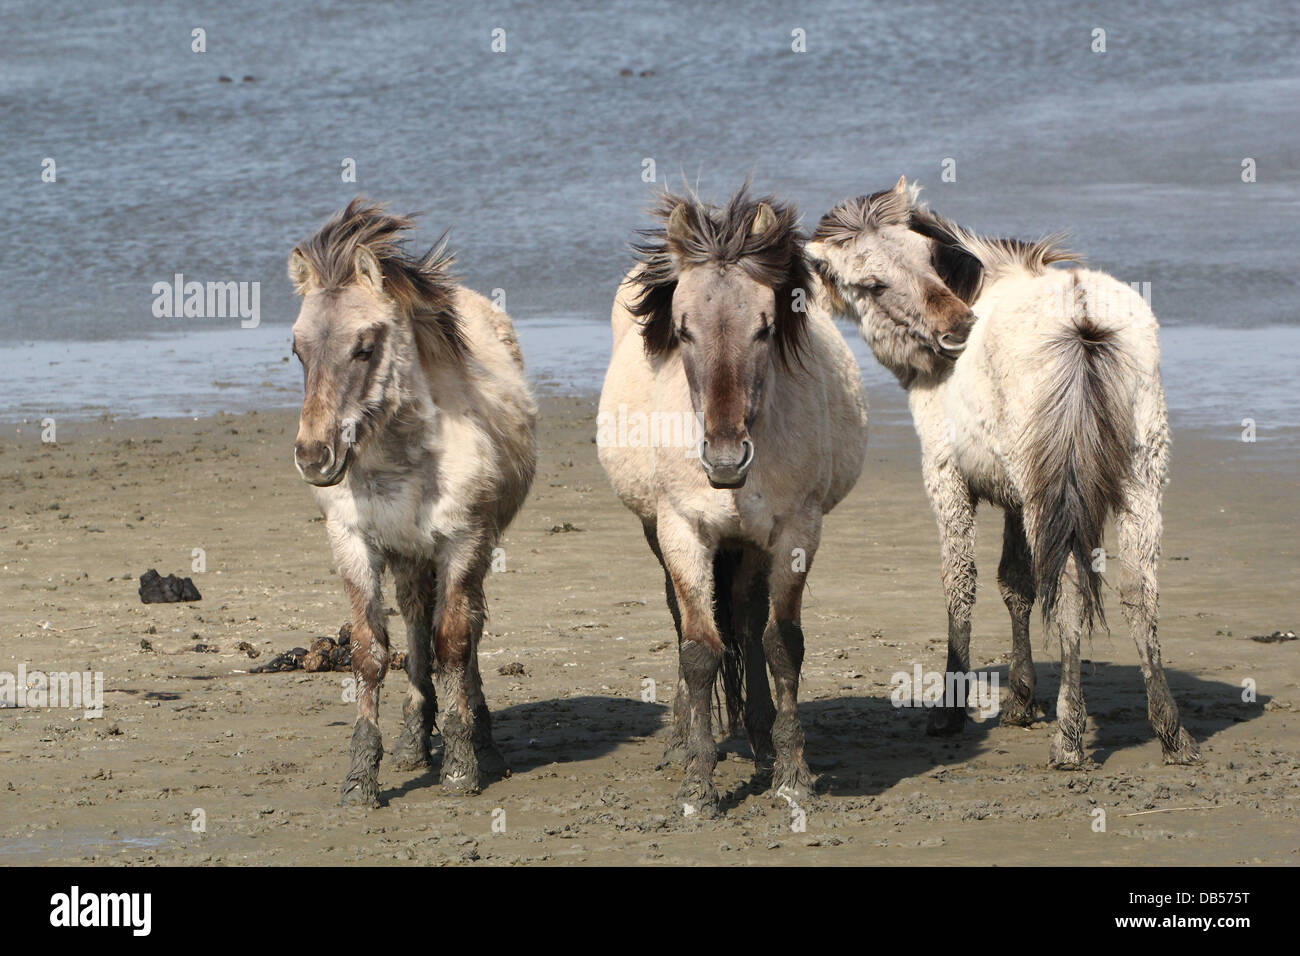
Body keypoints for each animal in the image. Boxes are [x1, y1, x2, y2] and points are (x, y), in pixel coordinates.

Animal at [288, 198, 537, 805]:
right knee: (417, 626)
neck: (401, 461)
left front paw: (462, 767)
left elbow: (454, 644)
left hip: (466, 552)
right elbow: (372, 651)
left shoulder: (463, 543)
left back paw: (482, 741)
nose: (314, 458)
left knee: (465, 630)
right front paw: (363, 777)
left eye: (365, 346)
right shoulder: (354, 543)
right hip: (406, 557)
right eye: (297, 349)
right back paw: (412, 741)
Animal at [597, 187, 870, 815]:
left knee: (746, 620)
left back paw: (762, 738)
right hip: (661, 531)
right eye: (683, 330)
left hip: (751, 543)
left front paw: (792, 774)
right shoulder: (682, 528)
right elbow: (698, 648)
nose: (725, 461)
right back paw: (680, 742)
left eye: (764, 329)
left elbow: (781, 642)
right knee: (688, 621)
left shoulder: (796, 529)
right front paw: (698, 783)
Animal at [806, 177, 1200, 767]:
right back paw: (1171, 731)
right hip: (1138, 482)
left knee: (1068, 592)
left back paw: (1070, 737)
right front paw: (1019, 700)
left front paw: (951, 712)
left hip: (1050, 495)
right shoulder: (1014, 496)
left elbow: (961, 584)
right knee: (1140, 591)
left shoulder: (947, 477)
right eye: (872, 284)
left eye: (929, 259)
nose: (958, 328)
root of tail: (1083, 316)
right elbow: (1016, 584)